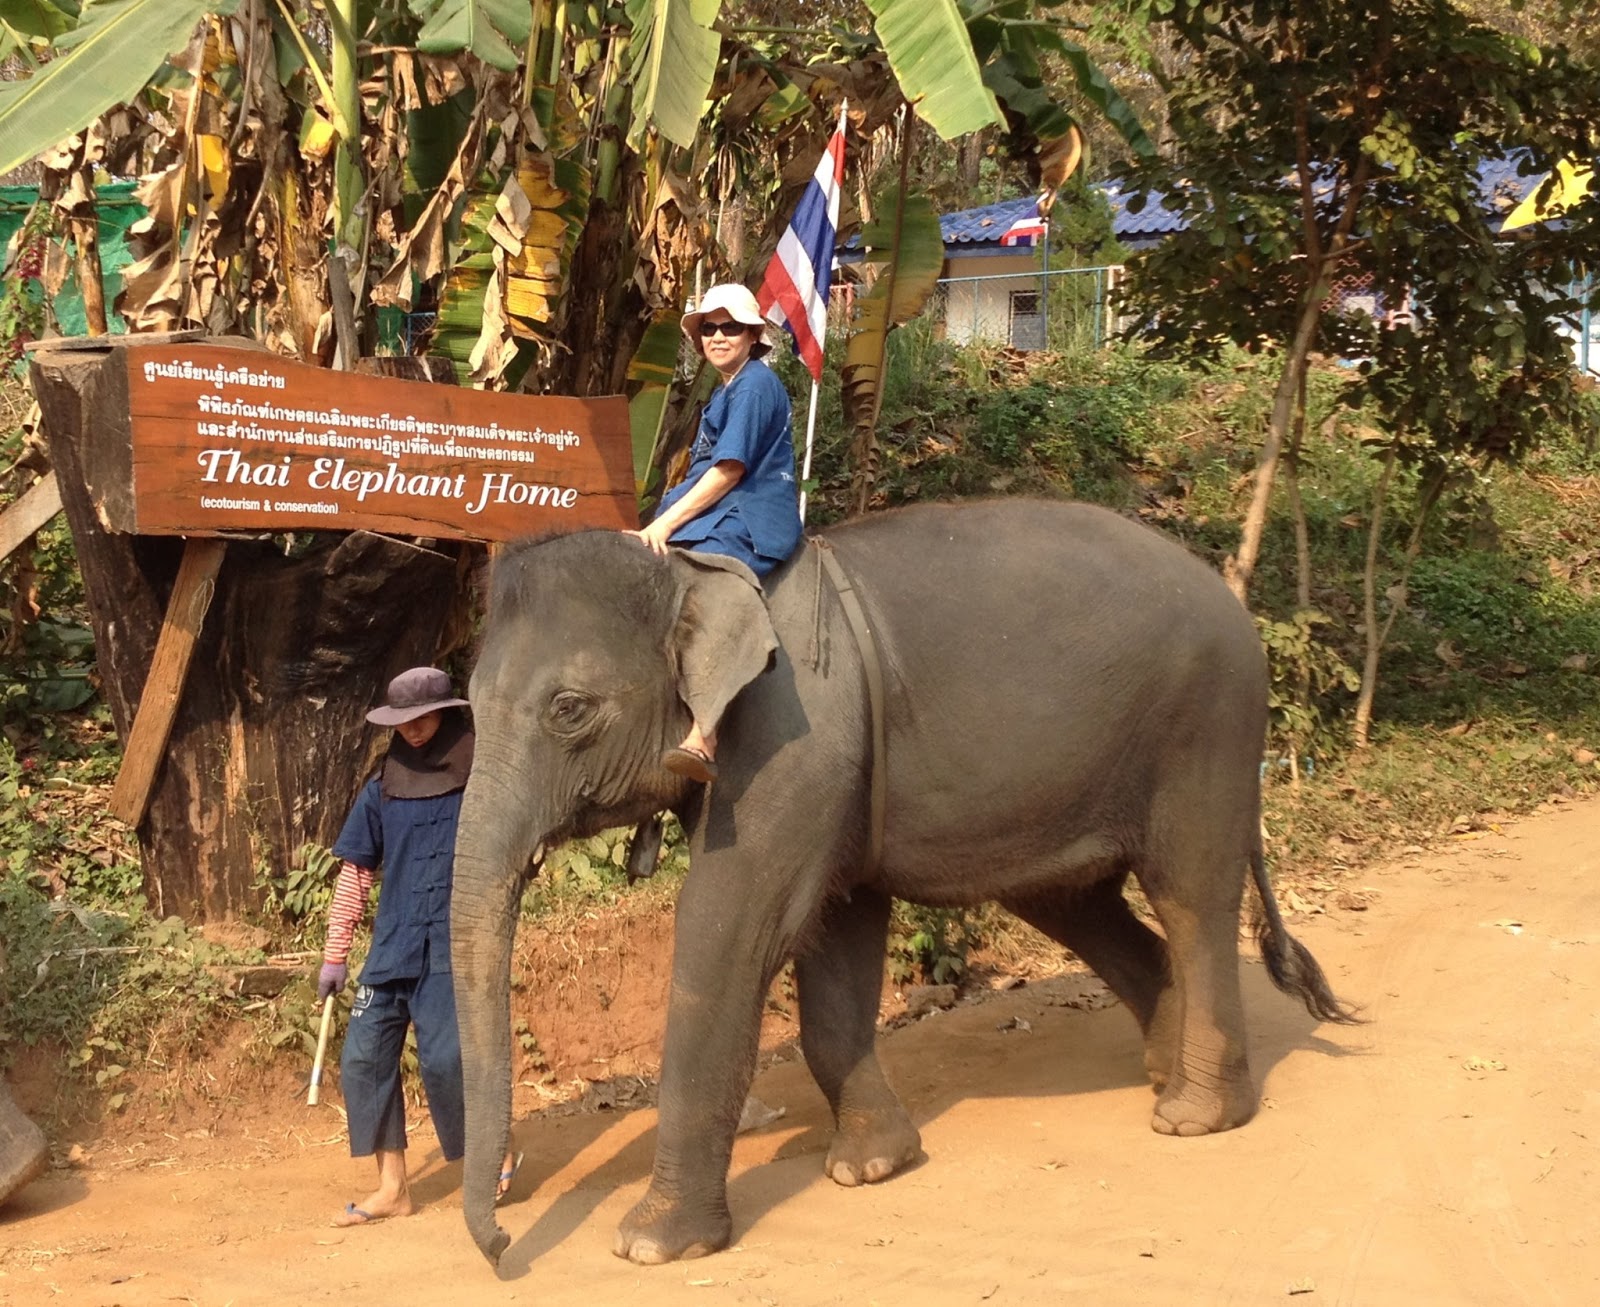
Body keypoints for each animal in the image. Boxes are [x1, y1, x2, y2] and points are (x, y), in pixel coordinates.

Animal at [450, 498, 1354, 1267]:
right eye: (469, 704)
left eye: (569, 708)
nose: (499, 1246)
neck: (687, 573)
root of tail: (1231, 598)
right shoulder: (834, 773)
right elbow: (834, 934)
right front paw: (874, 1165)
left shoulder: (793, 739)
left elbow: (729, 928)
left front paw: (651, 1245)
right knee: (1078, 903)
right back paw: (1163, 1070)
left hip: (1207, 725)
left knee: (1192, 896)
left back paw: (1194, 1115)